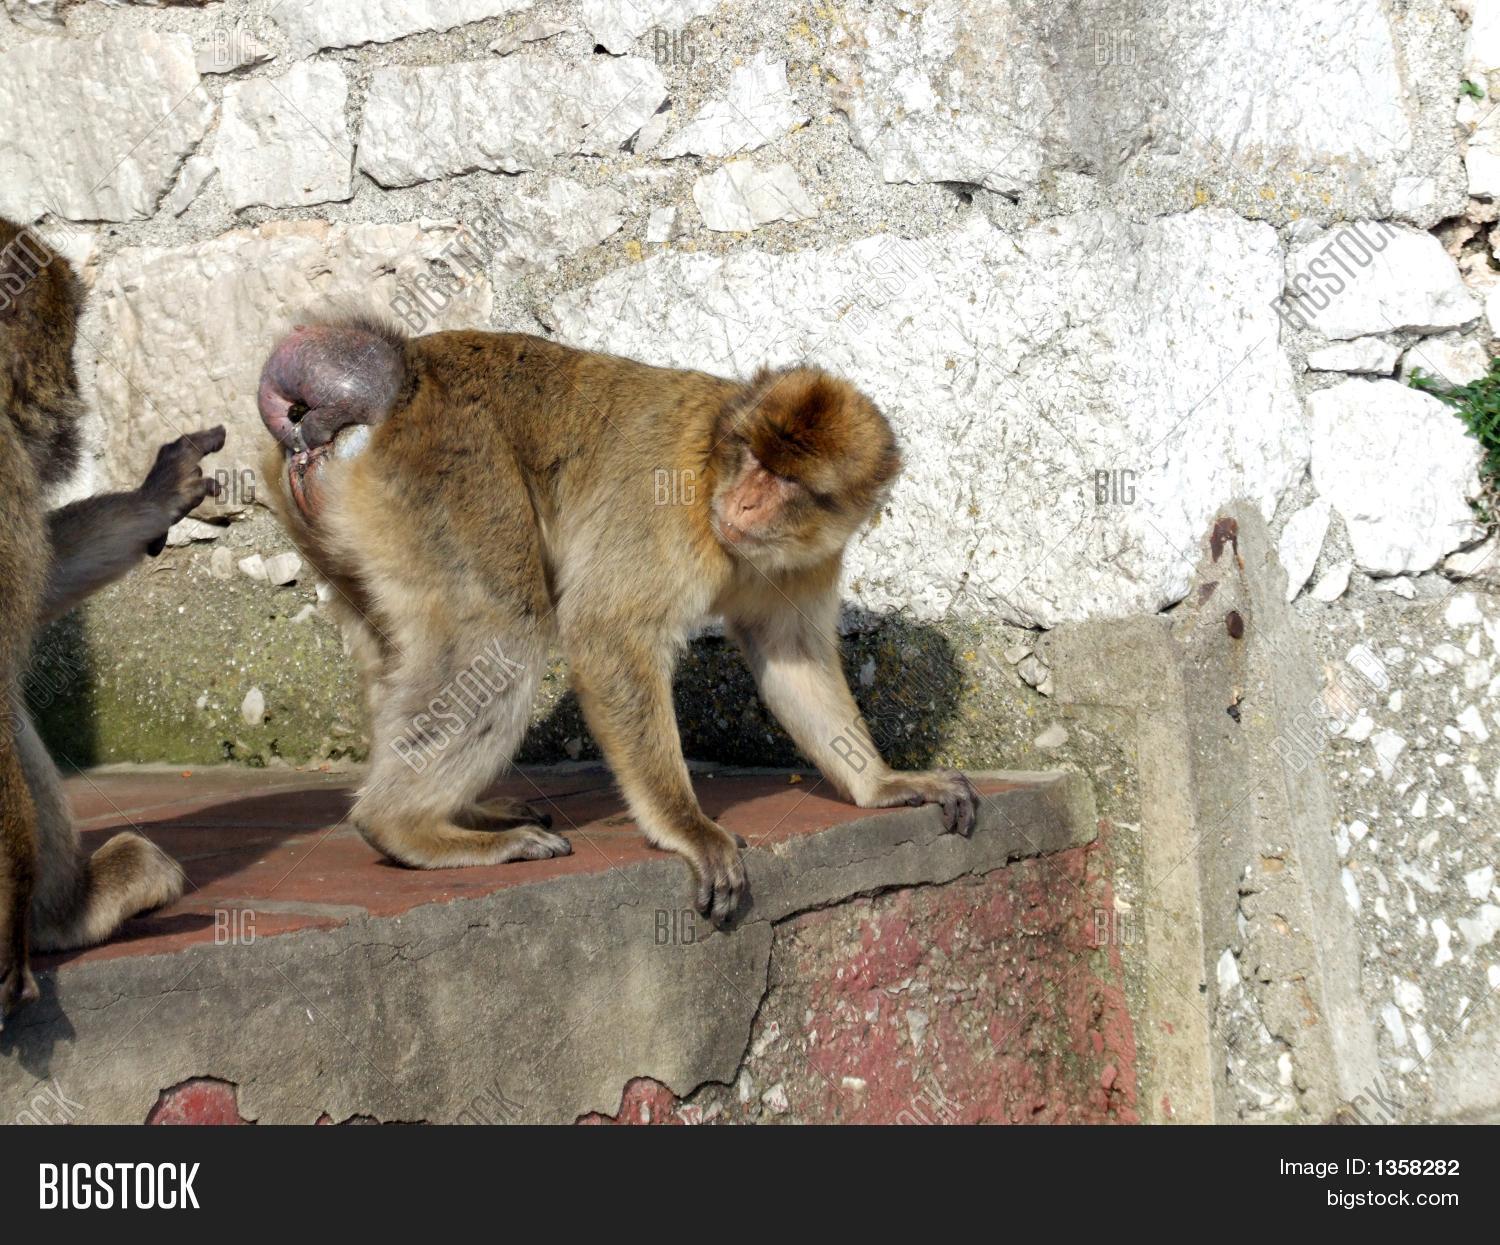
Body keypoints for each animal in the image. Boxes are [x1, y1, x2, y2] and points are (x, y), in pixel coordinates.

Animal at [258, 319, 978, 923]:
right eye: (754, 460)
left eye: (787, 481)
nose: (746, 501)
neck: (714, 469)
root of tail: (404, 373)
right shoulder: (668, 502)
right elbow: (606, 630)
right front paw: (687, 827)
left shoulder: (811, 558)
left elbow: (791, 655)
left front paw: (882, 784)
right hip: (444, 470)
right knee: (503, 632)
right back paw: (403, 829)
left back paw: (453, 812)